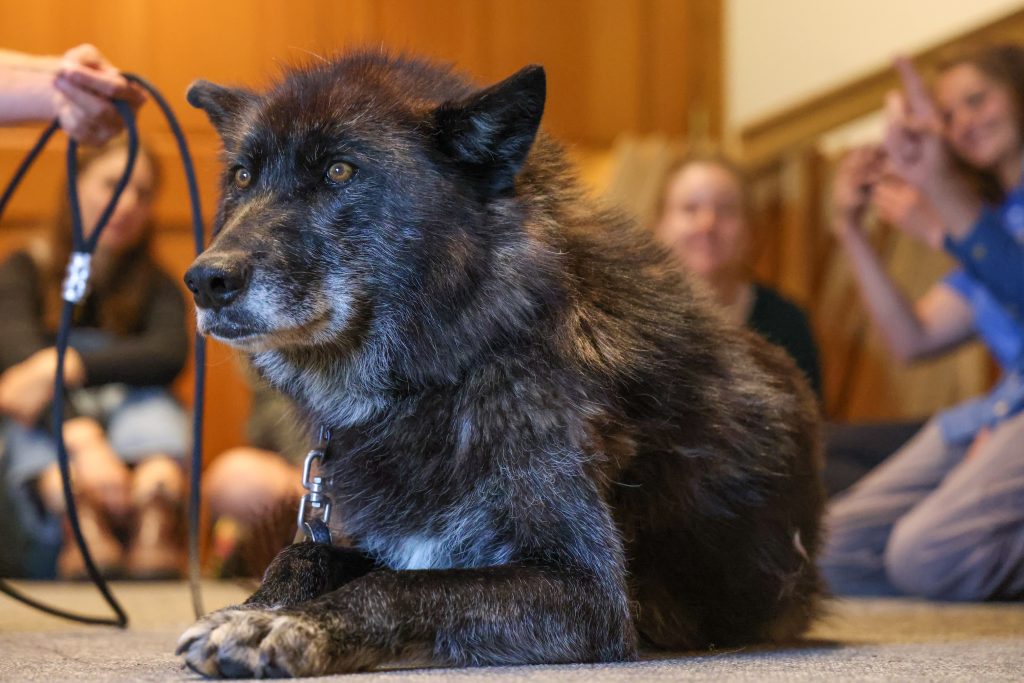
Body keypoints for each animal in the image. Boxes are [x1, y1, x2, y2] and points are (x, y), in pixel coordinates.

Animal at [178, 52, 825, 678]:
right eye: (242, 176)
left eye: (339, 171)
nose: (205, 280)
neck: (451, 367)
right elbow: (302, 553)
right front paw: (253, 609)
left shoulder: (587, 591)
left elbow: (397, 586)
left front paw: (288, 626)